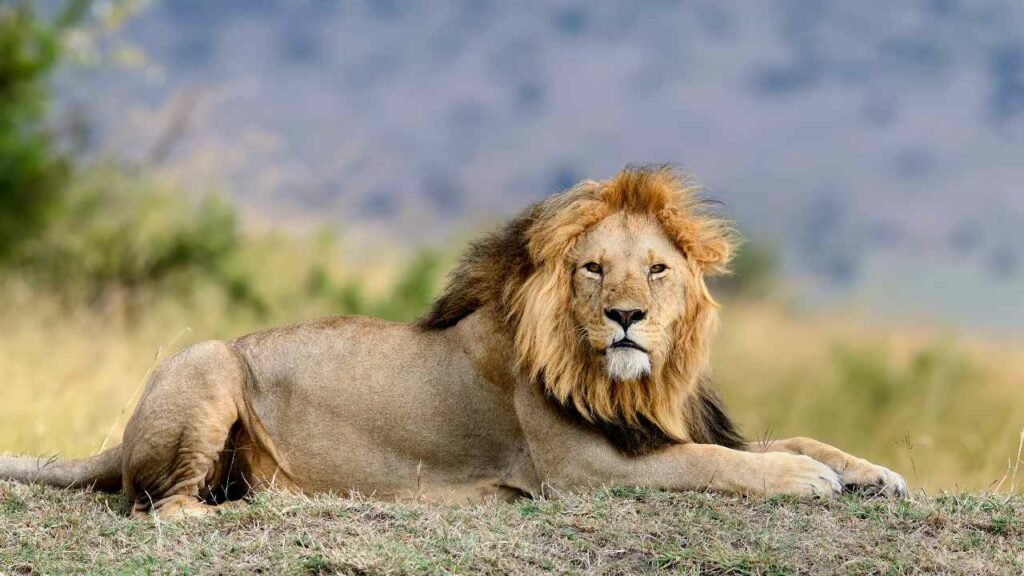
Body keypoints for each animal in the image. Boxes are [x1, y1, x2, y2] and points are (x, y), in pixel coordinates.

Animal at [0, 166, 906, 518]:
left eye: (655, 270)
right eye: (592, 269)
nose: (626, 317)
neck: (633, 381)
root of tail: (122, 436)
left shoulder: (660, 426)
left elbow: (791, 437)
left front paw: (871, 472)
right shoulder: (584, 470)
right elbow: (718, 463)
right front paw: (804, 481)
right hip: (210, 358)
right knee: (158, 503)